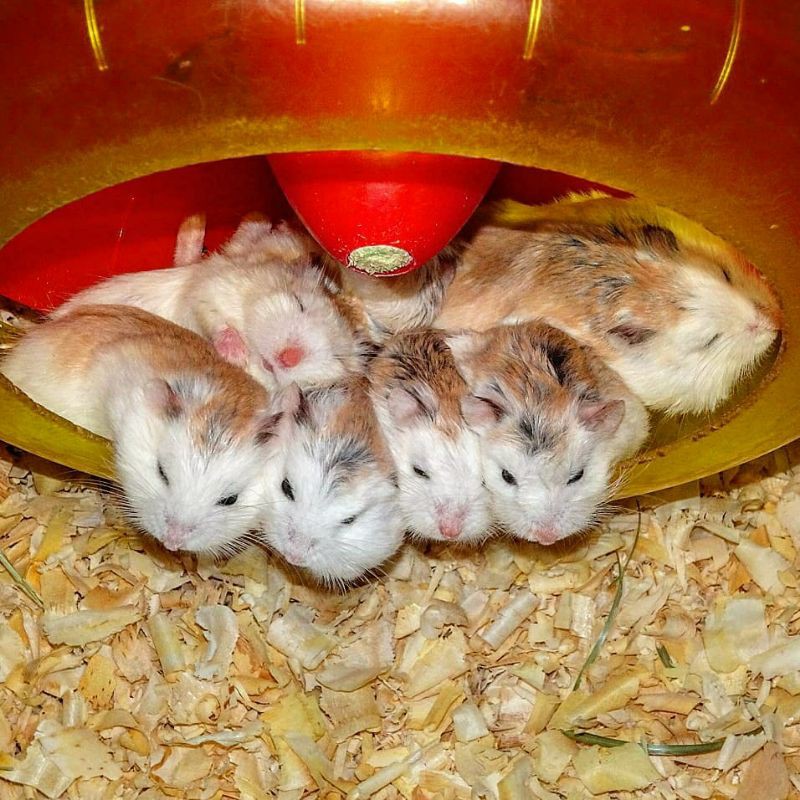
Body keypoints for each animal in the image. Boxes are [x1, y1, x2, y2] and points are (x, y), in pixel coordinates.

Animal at [54, 216, 370, 391]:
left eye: (338, 357)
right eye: (299, 303)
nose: (288, 358)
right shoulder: (209, 289)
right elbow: (213, 319)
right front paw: (235, 353)